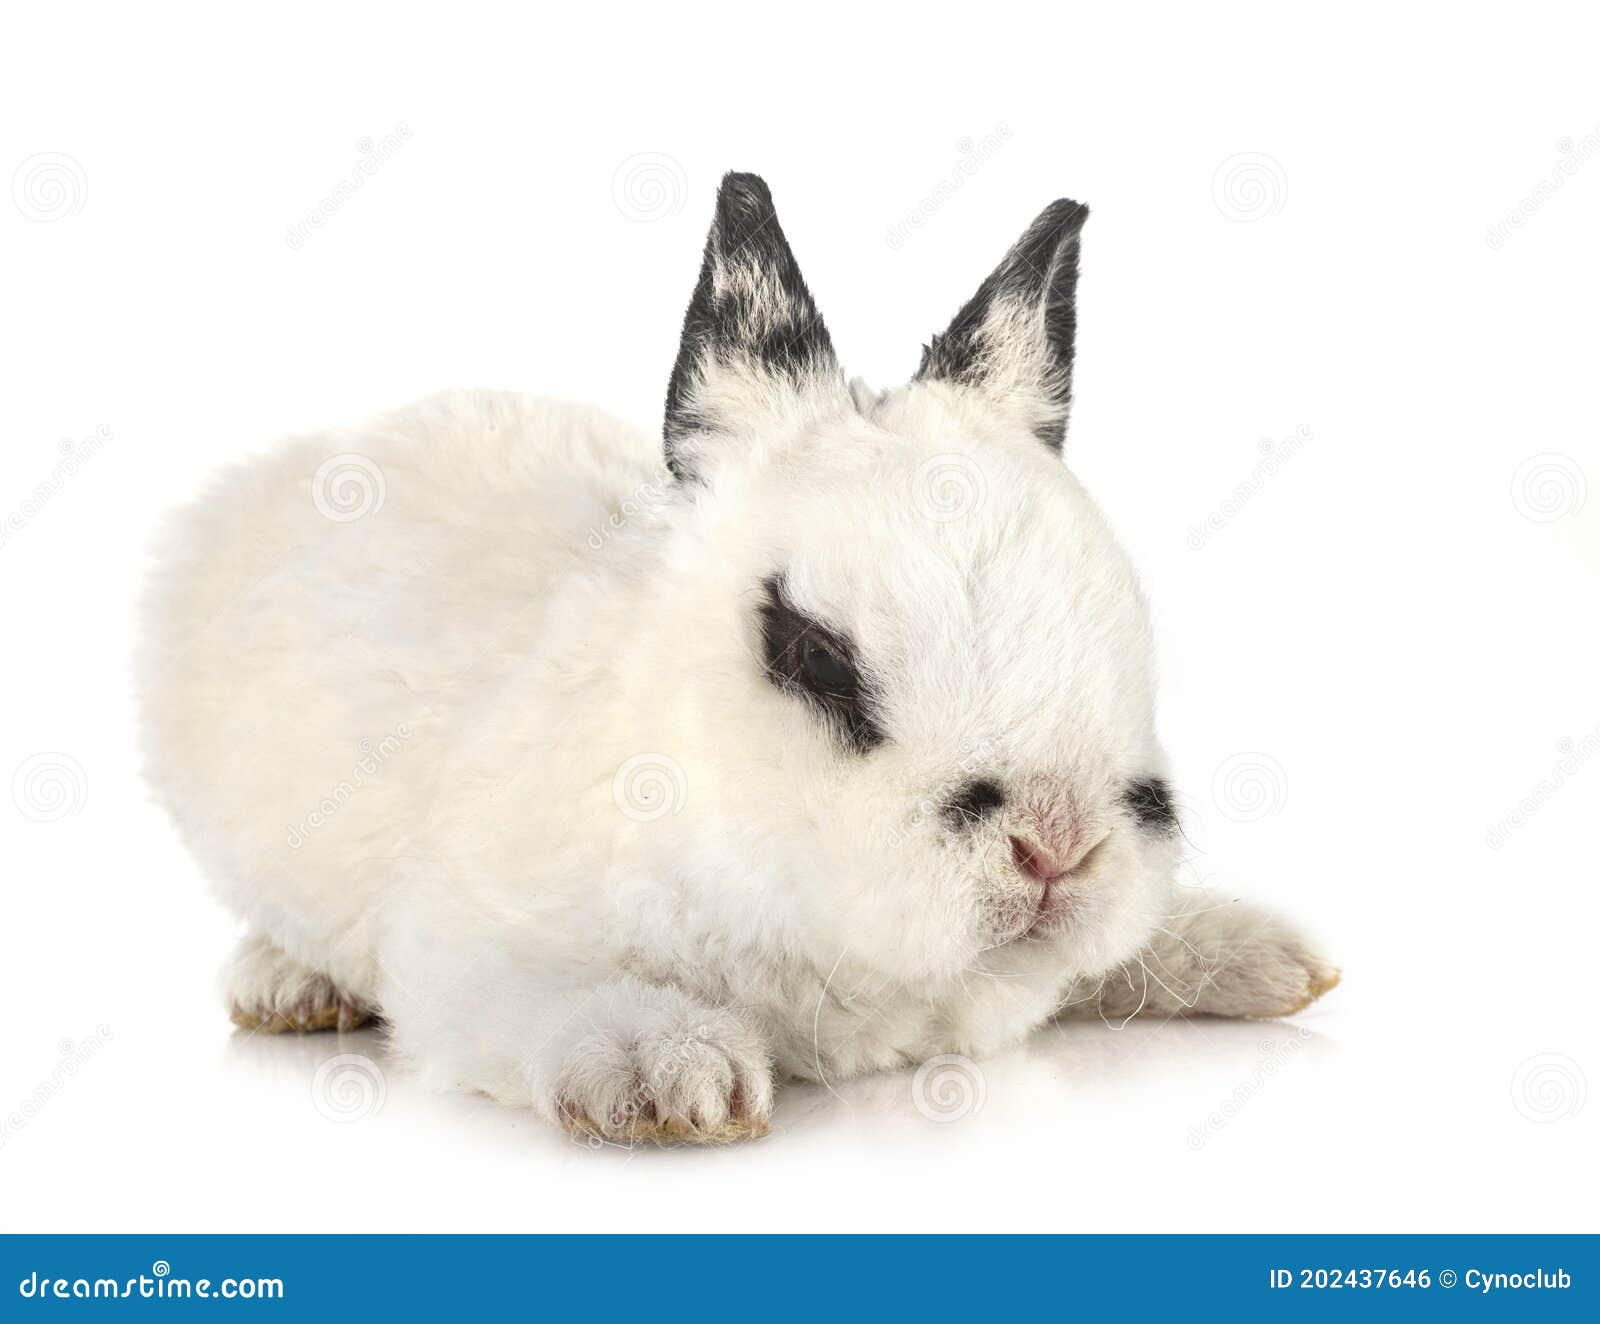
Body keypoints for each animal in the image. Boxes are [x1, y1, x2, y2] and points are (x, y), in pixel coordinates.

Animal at [137, 171, 1337, 1144]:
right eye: (810, 653)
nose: (1055, 846)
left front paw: (1272, 962)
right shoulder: (466, 949)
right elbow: (539, 1002)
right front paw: (674, 1078)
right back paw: (288, 989)